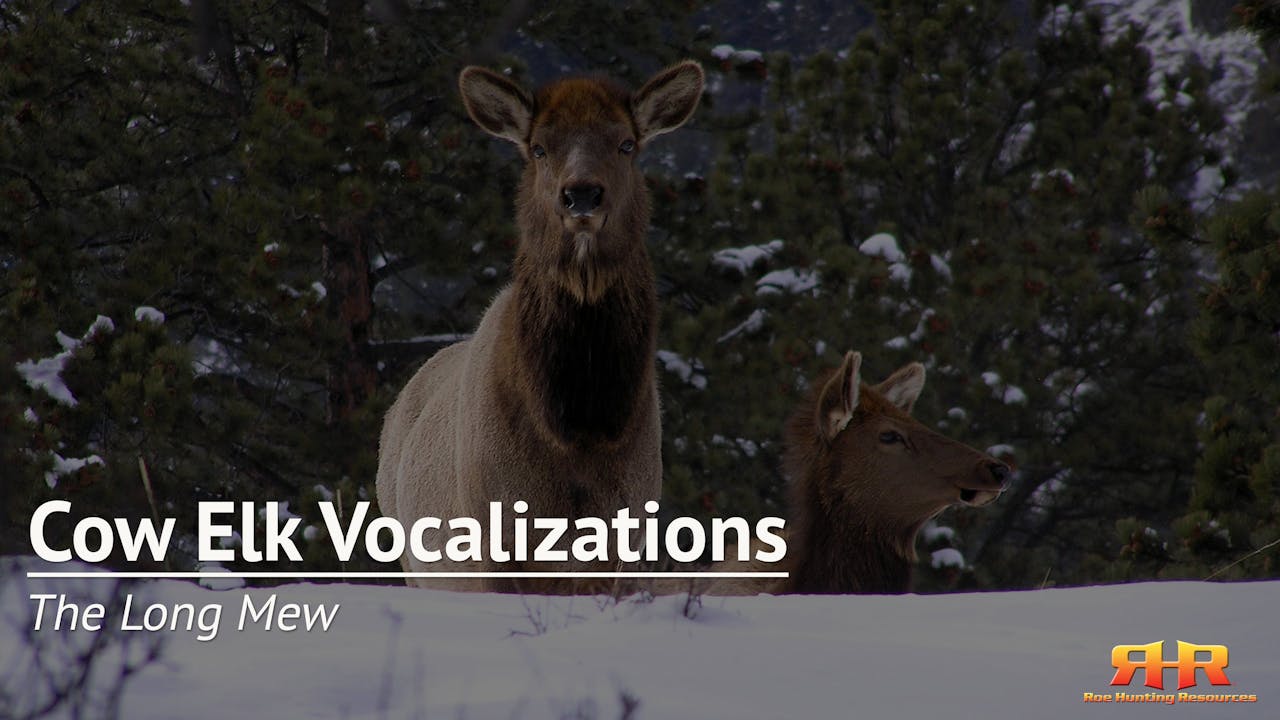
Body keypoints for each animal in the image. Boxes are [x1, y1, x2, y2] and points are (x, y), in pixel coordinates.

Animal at [375, 61, 704, 593]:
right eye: (538, 147)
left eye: (626, 143)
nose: (582, 193)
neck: (577, 430)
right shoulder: (496, 536)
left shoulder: (625, 537)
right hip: (412, 558)